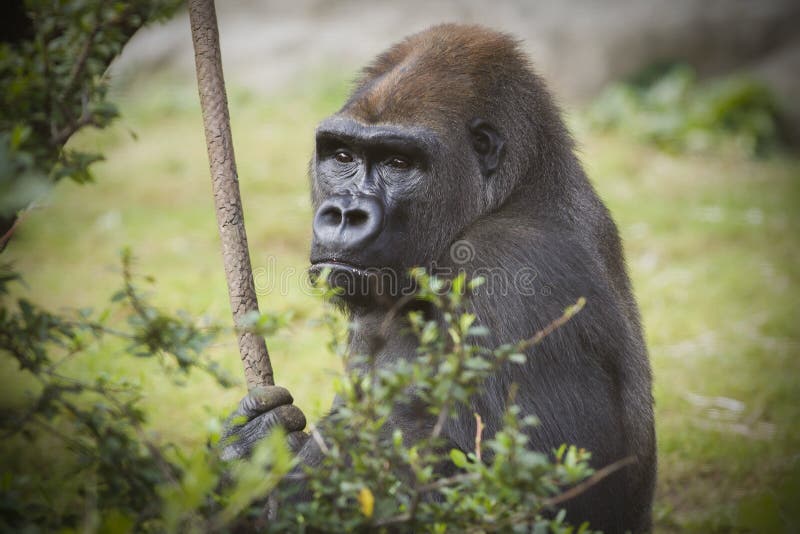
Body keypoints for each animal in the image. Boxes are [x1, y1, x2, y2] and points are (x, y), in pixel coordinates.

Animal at [221, 24, 655, 533]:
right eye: (343, 155)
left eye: (398, 163)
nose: (344, 214)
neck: (517, 189)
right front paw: (245, 447)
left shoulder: (512, 270)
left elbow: (547, 500)